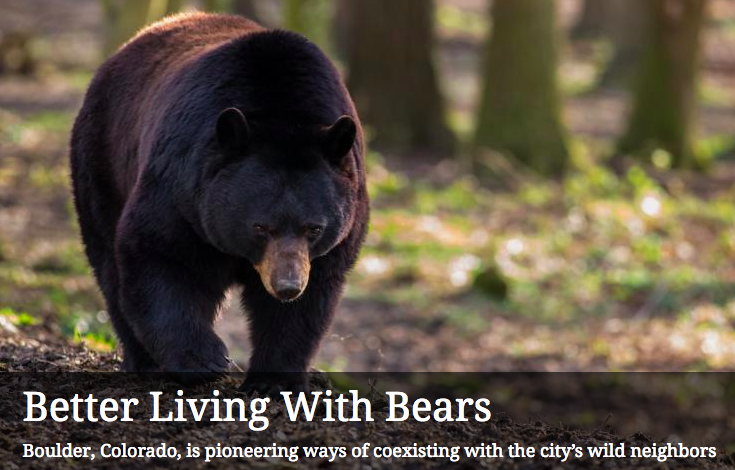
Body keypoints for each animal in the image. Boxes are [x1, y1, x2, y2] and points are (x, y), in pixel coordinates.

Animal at [69, 12, 369, 392]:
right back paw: (144, 361)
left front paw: (274, 379)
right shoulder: (182, 192)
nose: (287, 286)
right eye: (260, 226)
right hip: (103, 158)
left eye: (314, 228)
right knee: (109, 261)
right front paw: (203, 359)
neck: (281, 113)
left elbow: (307, 304)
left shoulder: (338, 230)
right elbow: (160, 256)